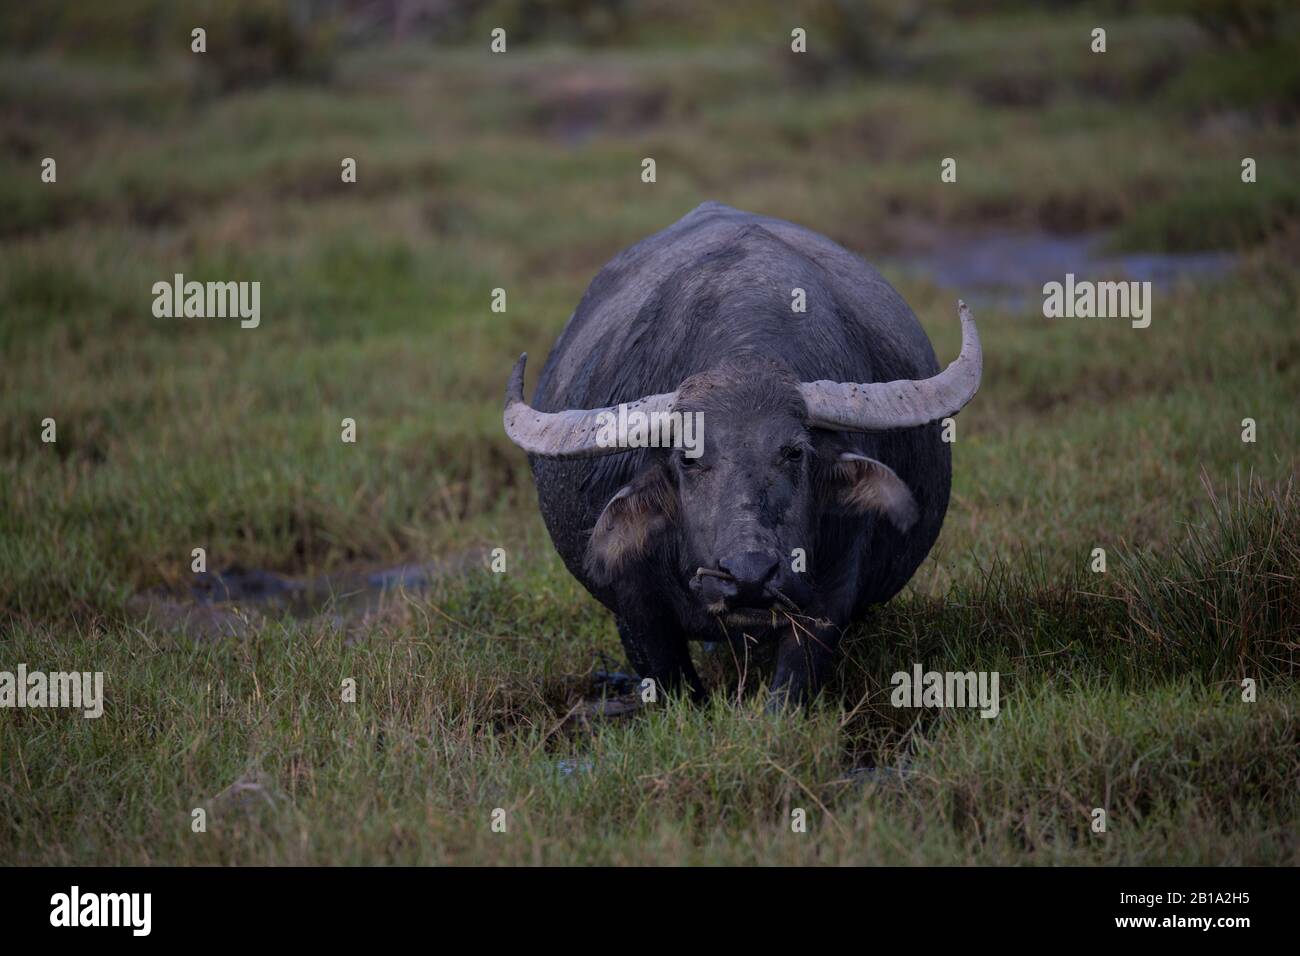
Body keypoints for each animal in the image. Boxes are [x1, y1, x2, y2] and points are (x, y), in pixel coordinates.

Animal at [504, 202, 982, 706]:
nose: (749, 575)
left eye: (794, 453)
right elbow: (670, 678)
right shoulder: (634, 606)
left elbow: (793, 681)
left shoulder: (835, 584)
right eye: (688, 458)